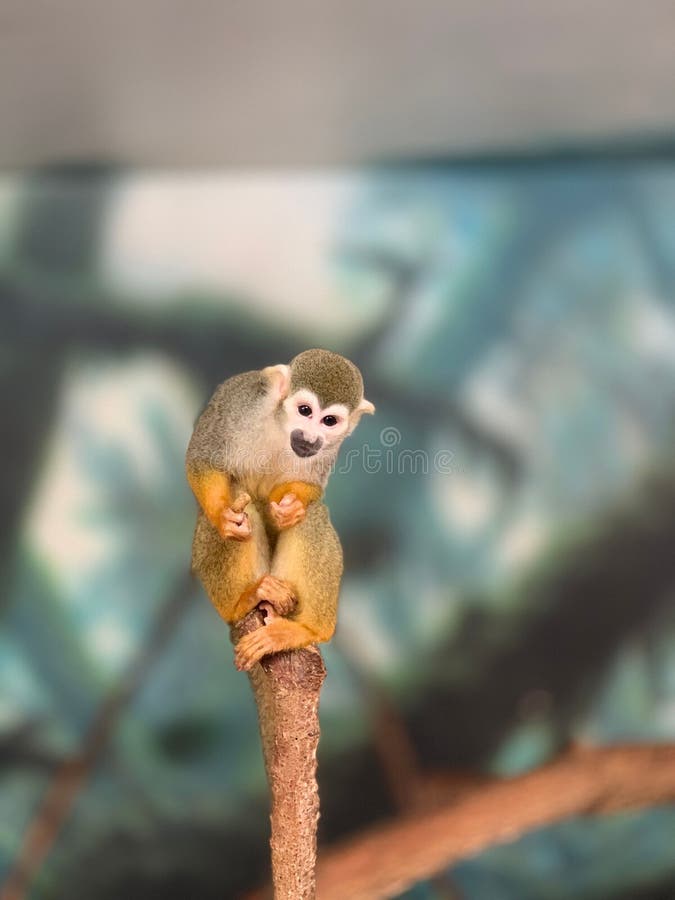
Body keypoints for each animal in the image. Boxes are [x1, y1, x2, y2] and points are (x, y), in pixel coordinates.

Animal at [185, 348, 374, 671]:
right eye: (305, 411)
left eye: (329, 420)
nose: (310, 437)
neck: (280, 427)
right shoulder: (242, 403)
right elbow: (202, 459)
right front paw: (223, 515)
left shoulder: (328, 450)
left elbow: (312, 490)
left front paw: (293, 506)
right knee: (241, 502)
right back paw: (241, 602)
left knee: (313, 516)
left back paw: (307, 630)